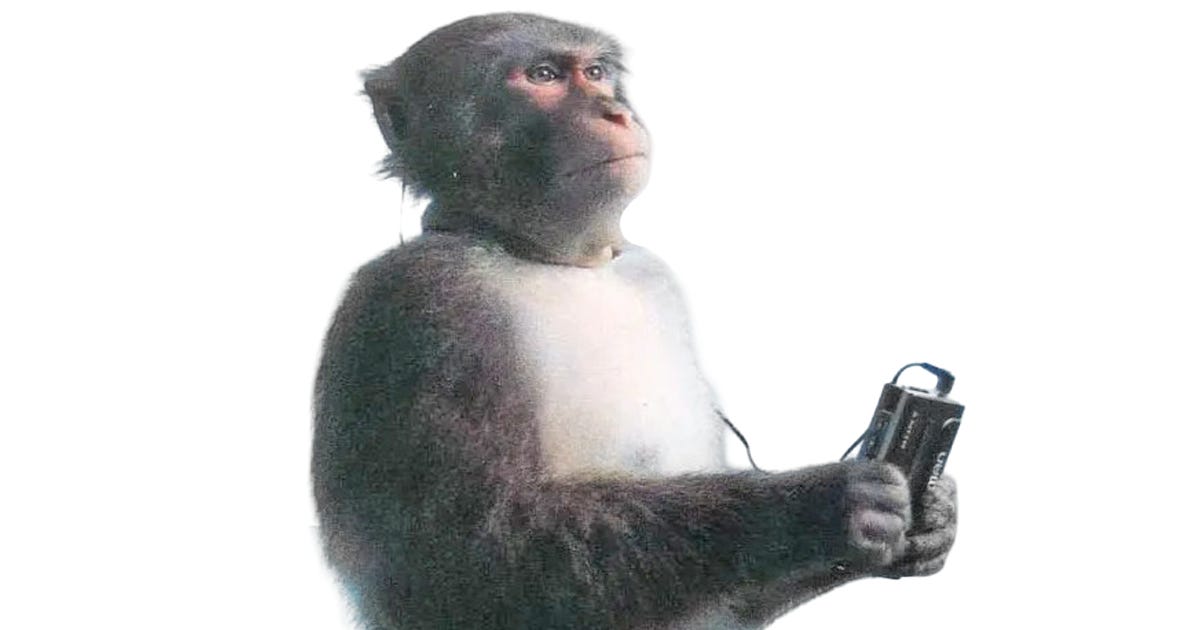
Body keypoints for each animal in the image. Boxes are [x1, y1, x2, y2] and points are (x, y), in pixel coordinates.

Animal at [312, 13, 957, 630]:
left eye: (596, 73)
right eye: (543, 76)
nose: (614, 110)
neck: (555, 258)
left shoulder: (653, 276)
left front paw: (934, 512)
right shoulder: (423, 307)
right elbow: (454, 564)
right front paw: (819, 505)